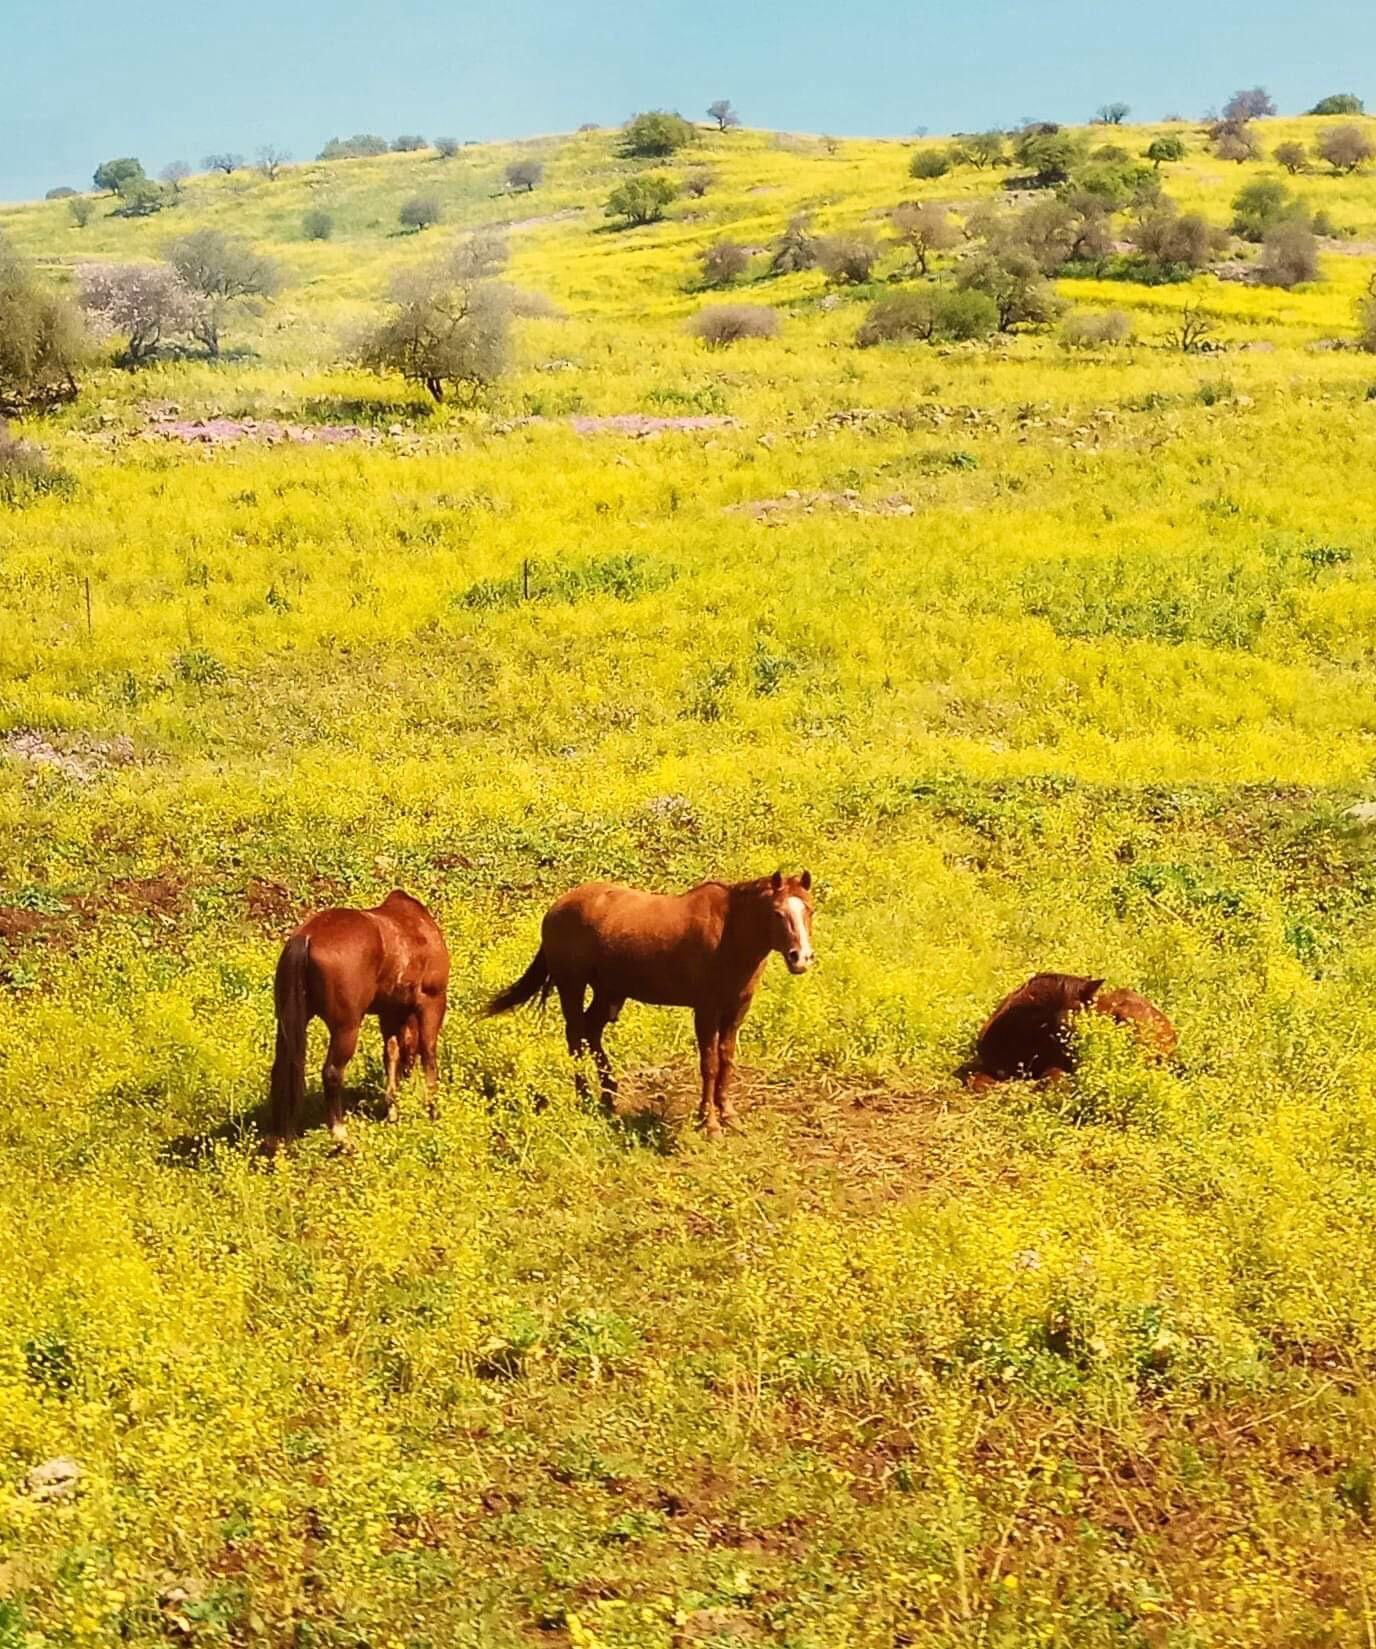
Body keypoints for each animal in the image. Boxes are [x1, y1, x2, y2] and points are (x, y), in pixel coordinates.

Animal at [267, 890, 449, 1152]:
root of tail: (306, 937)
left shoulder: (390, 1012)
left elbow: (391, 1053)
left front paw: (393, 1108)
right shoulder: (432, 1002)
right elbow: (428, 1055)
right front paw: (433, 1108)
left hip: (287, 1024)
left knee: (283, 1070)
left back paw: (283, 1135)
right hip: (346, 1028)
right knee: (332, 1072)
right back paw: (340, 1135)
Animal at [485, 871, 815, 1136]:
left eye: (809, 910)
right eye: (777, 913)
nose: (801, 958)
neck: (729, 933)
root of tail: (556, 908)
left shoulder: (737, 1008)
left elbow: (726, 1059)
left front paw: (729, 1115)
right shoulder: (706, 1009)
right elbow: (709, 1064)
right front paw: (709, 1123)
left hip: (609, 991)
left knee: (591, 1032)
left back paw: (609, 1096)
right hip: (572, 985)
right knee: (575, 1036)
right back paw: (586, 1097)